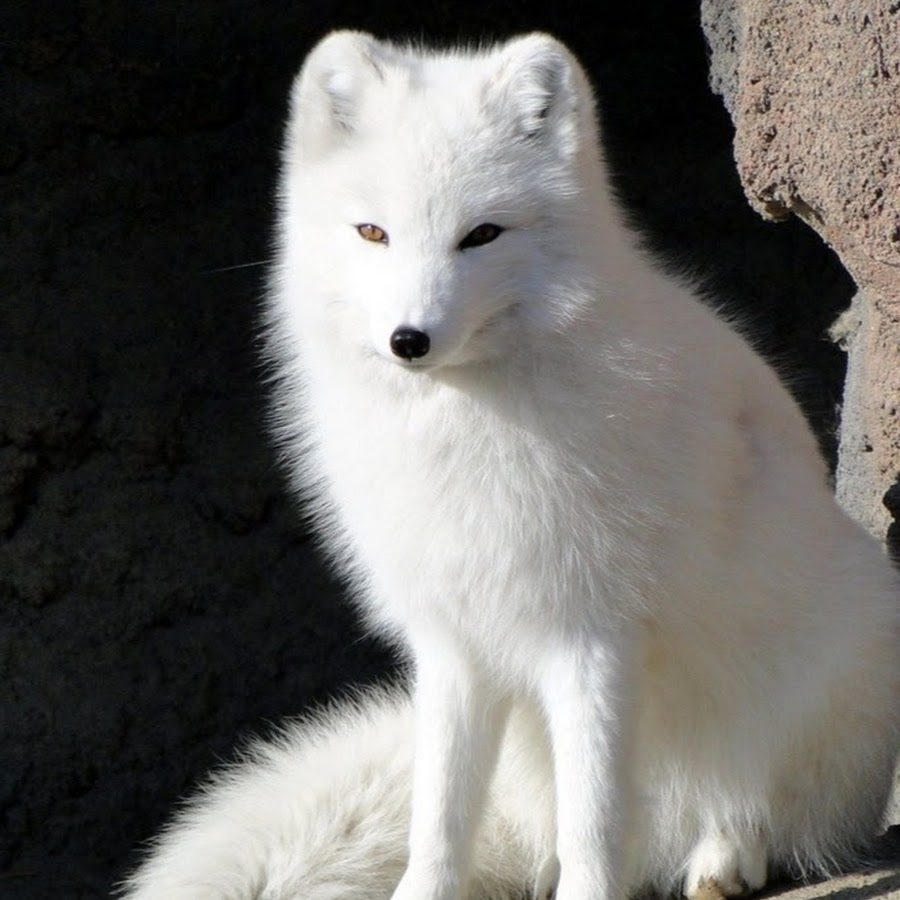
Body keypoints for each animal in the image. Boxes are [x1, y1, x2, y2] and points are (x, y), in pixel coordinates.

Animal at [121, 31, 900, 900]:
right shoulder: (451, 641)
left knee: (754, 808)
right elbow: (440, 817)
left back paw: (723, 859)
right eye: (372, 233)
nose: (409, 340)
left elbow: (593, 819)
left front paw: (592, 891)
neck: (467, 429)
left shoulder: (592, 636)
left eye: (482, 235)